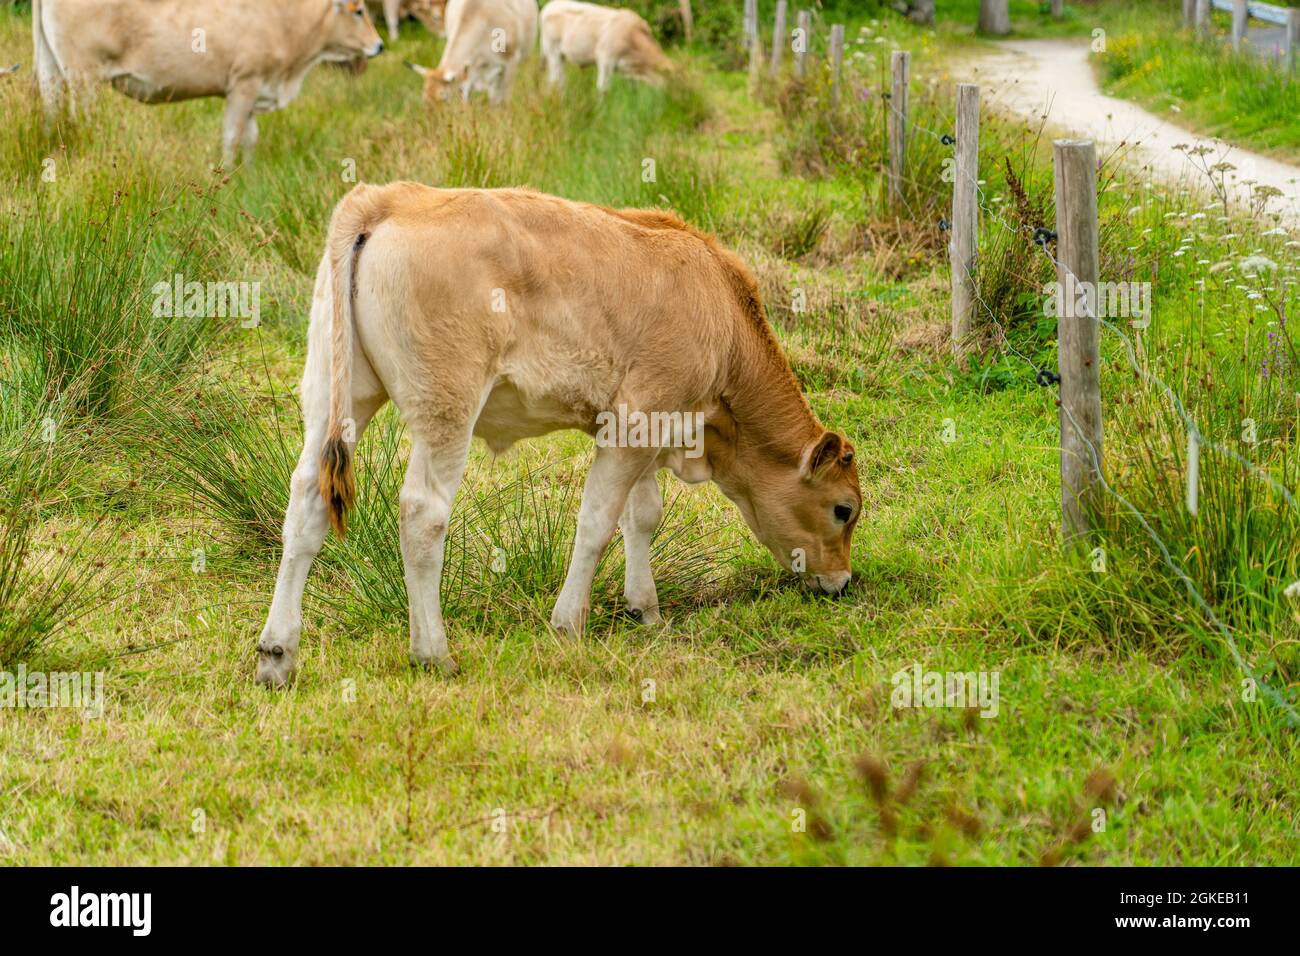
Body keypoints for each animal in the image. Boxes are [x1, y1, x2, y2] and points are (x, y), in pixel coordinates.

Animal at [32, 0, 385, 167]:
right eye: (358, 11)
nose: (380, 45)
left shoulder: (255, 90)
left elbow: (250, 138)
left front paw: (250, 174)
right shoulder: (243, 84)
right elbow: (232, 136)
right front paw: (227, 175)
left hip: (50, 68)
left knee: (50, 111)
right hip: (83, 76)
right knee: (82, 121)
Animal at [253, 182, 863, 687]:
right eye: (844, 509)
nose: (844, 581)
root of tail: (390, 196)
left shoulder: (645, 427)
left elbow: (641, 515)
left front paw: (646, 610)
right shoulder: (638, 419)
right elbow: (596, 523)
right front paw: (568, 623)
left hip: (336, 395)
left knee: (306, 501)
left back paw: (278, 655)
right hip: (446, 407)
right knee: (422, 514)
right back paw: (434, 653)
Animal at [540, 1, 672, 92]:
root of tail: (550, 6)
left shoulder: (629, 70)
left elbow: (633, 90)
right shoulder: (605, 60)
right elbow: (603, 89)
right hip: (553, 52)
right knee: (556, 81)